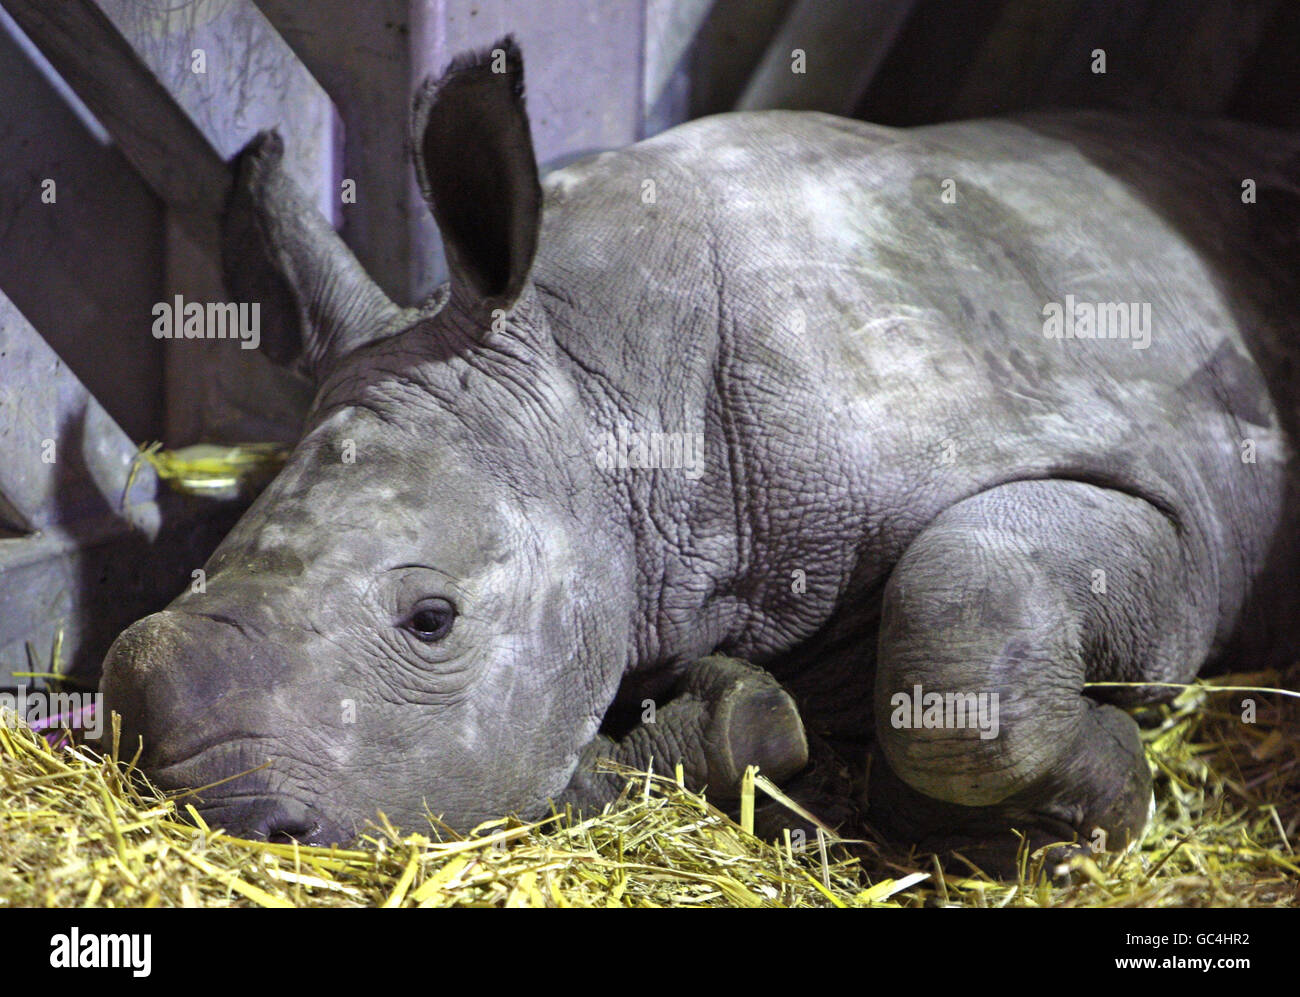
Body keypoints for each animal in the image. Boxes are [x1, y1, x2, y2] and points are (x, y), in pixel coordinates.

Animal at [100, 37, 1300, 873]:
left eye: (430, 620)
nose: (209, 806)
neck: (615, 397)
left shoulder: (1148, 475)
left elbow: (963, 636)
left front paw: (1073, 822)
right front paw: (753, 723)